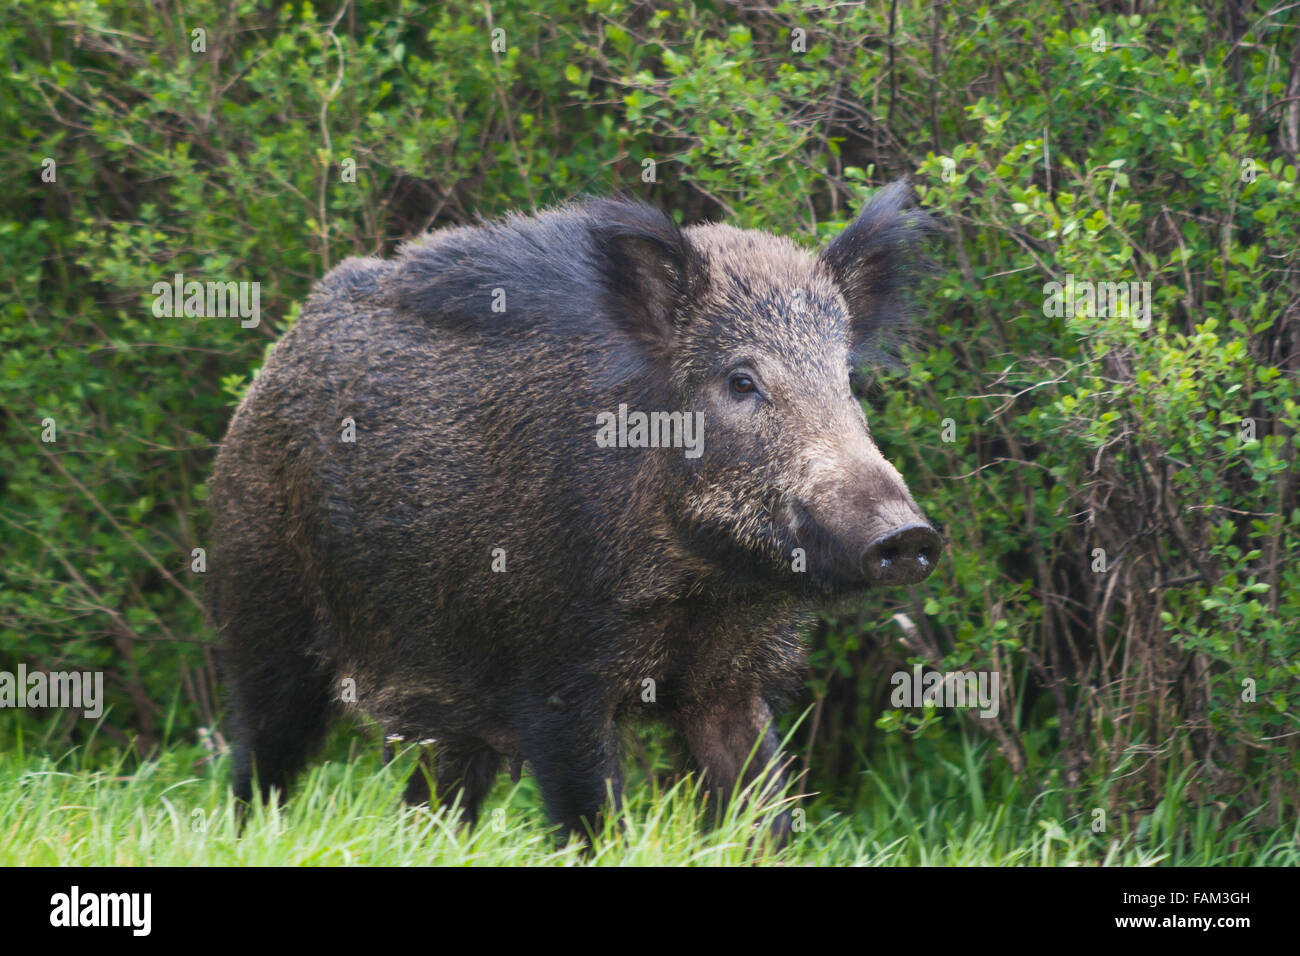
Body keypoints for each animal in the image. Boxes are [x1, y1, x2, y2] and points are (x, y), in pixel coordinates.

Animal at [207, 180, 940, 840]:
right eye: (741, 381)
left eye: (847, 380)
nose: (908, 534)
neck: (703, 587)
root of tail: (280, 354)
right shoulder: (554, 681)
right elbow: (595, 820)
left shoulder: (732, 679)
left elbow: (764, 810)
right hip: (264, 602)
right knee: (260, 756)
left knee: (429, 804)